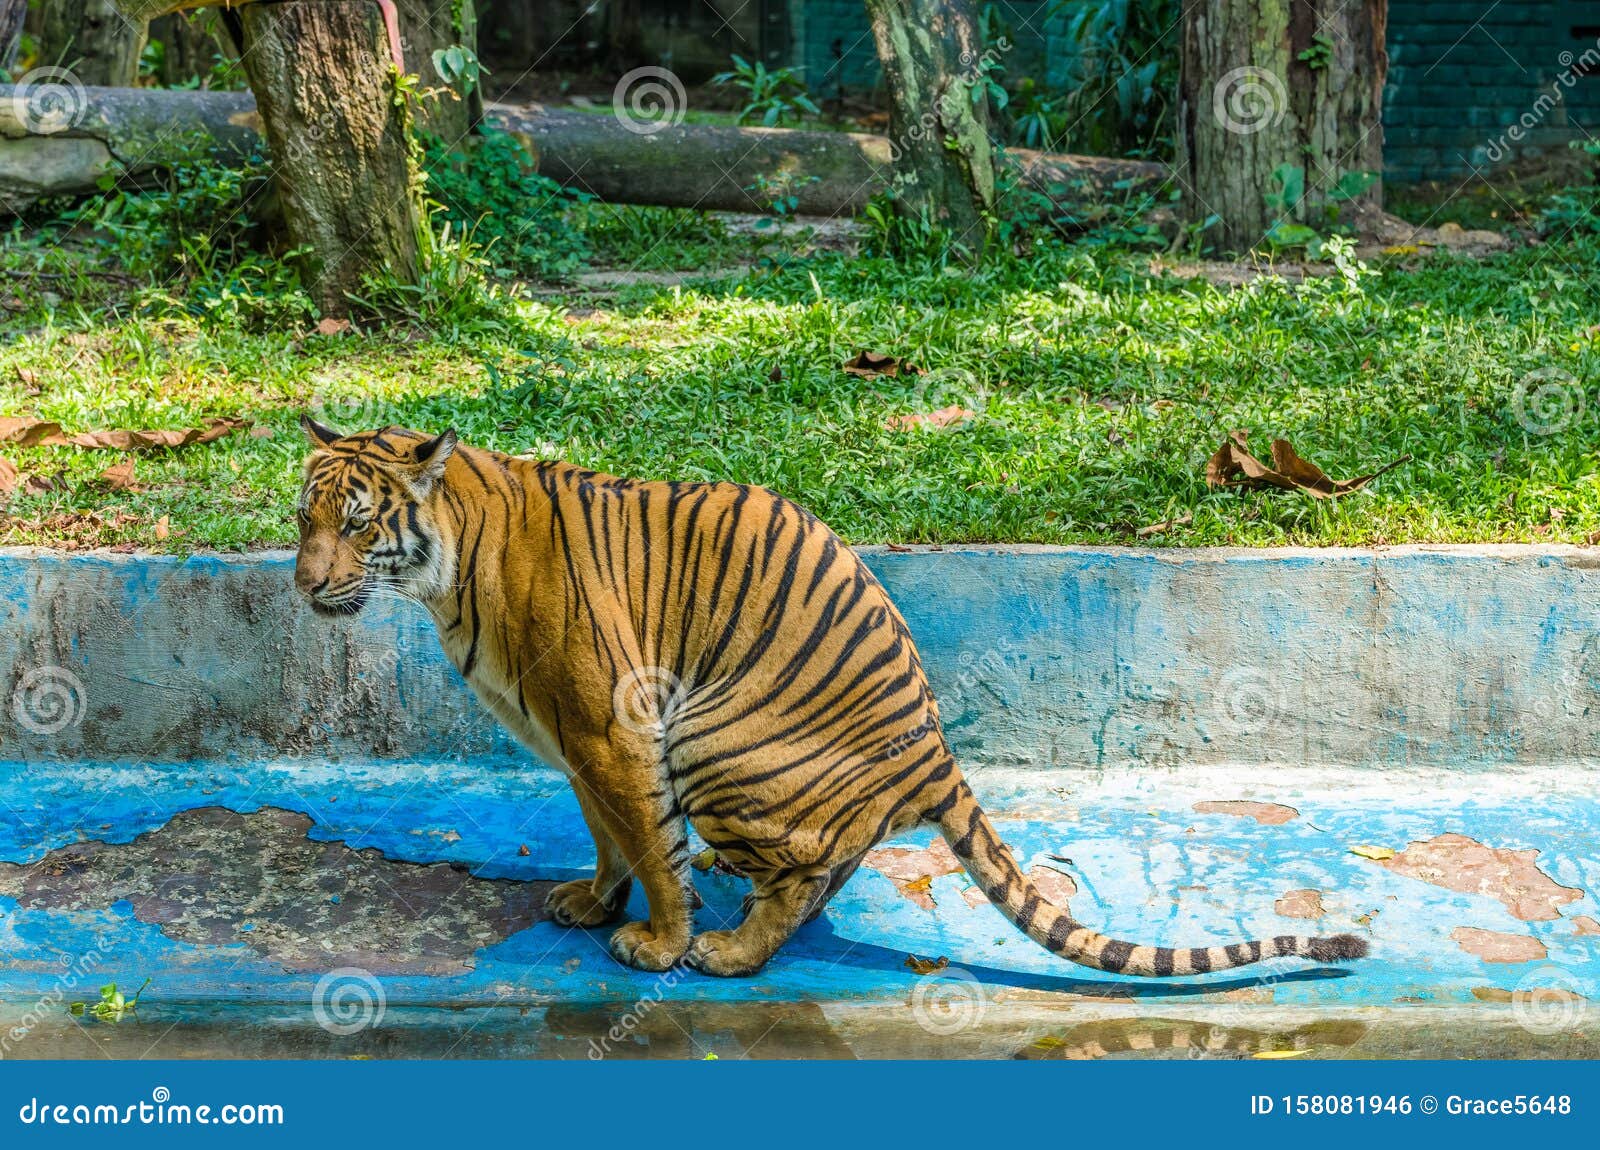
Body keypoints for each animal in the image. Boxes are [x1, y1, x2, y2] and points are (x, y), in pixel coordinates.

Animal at [293, 418, 1369, 978]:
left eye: (357, 524)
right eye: (302, 516)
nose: (303, 585)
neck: (442, 575)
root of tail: (931, 738)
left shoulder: (614, 729)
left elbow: (648, 845)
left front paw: (658, 940)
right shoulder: (574, 745)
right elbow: (609, 838)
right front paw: (591, 902)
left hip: (716, 735)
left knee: (801, 876)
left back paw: (727, 952)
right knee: (826, 860)